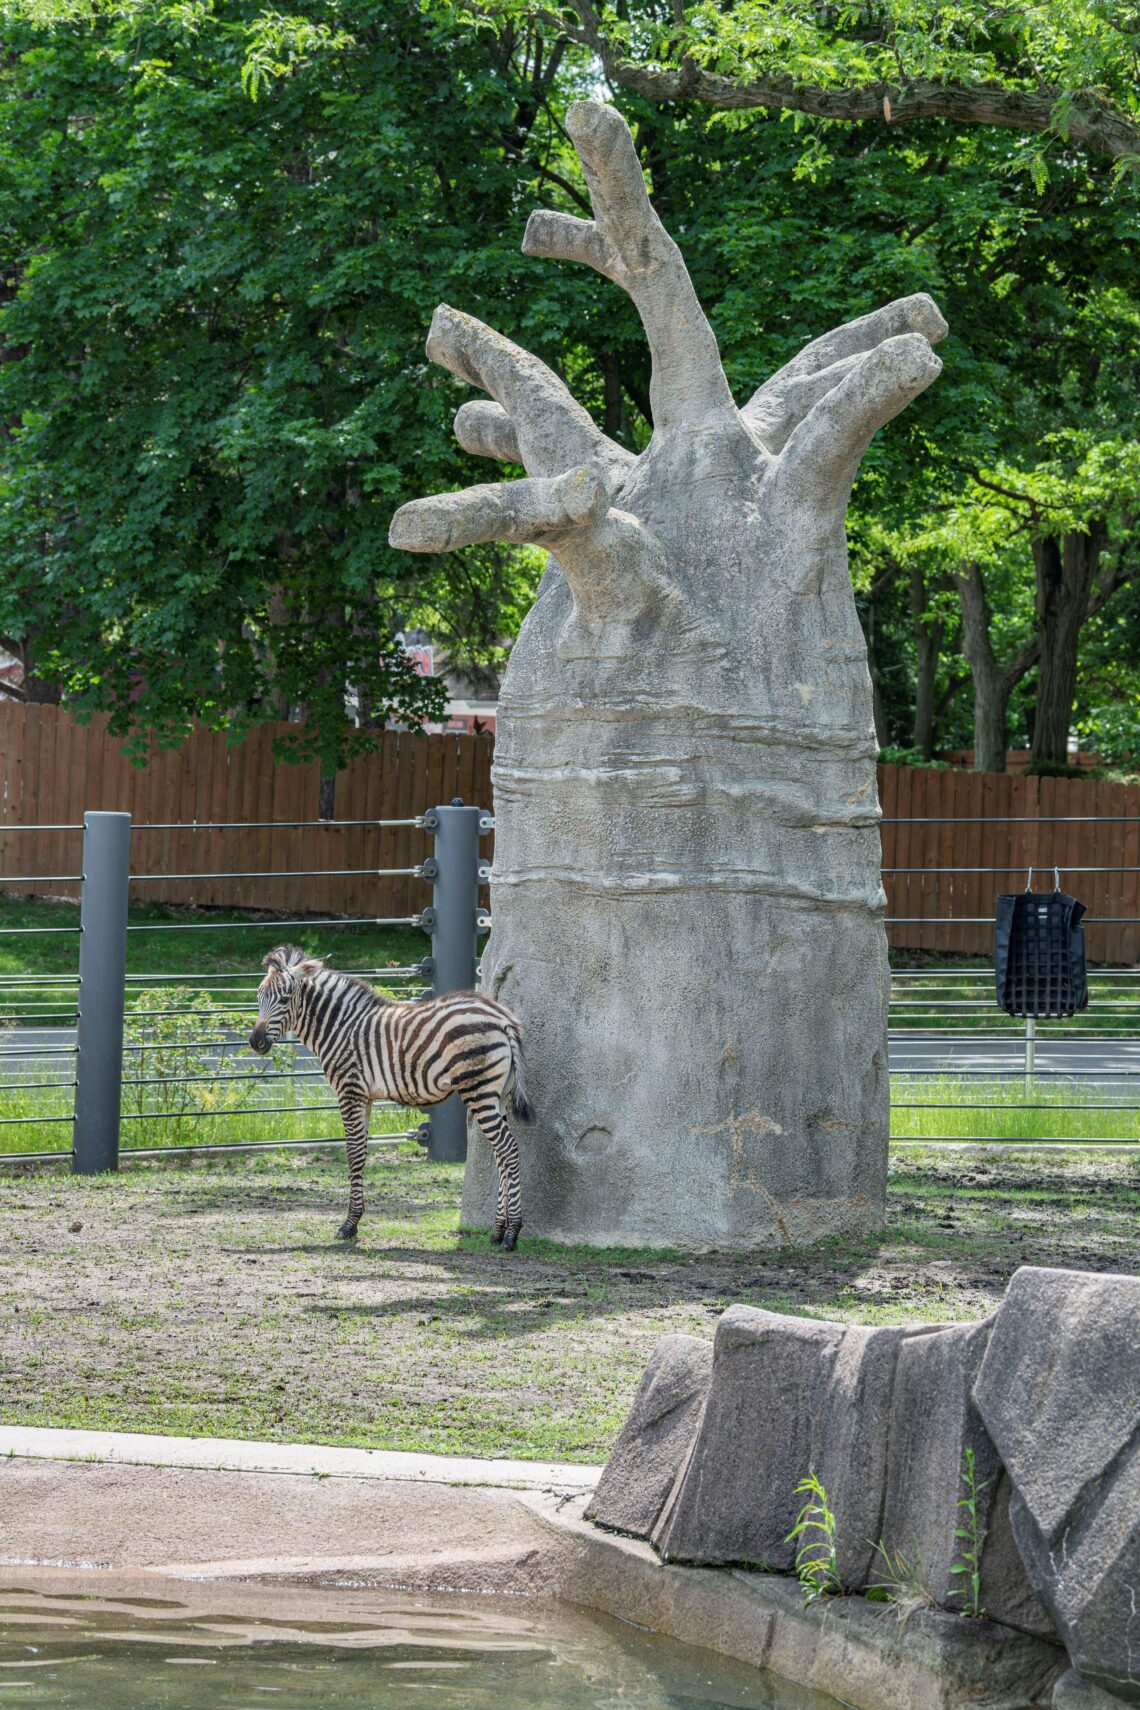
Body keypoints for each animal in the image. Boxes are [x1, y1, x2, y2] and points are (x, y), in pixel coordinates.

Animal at [248, 945, 532, 1248]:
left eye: (284, 998)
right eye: (258, 997)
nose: (255, 1042)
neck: (341, 1027)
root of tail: (502, 1018)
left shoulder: (350, 1091)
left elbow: (354, 1153)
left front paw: (349, 1225)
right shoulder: (365, 1097)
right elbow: (361, 1150)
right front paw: (355, 1220)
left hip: (479, 1090)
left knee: (508, 1149)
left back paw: (512, 1234)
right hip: (499, 1095)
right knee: (501, 1154)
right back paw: (498, 1230)